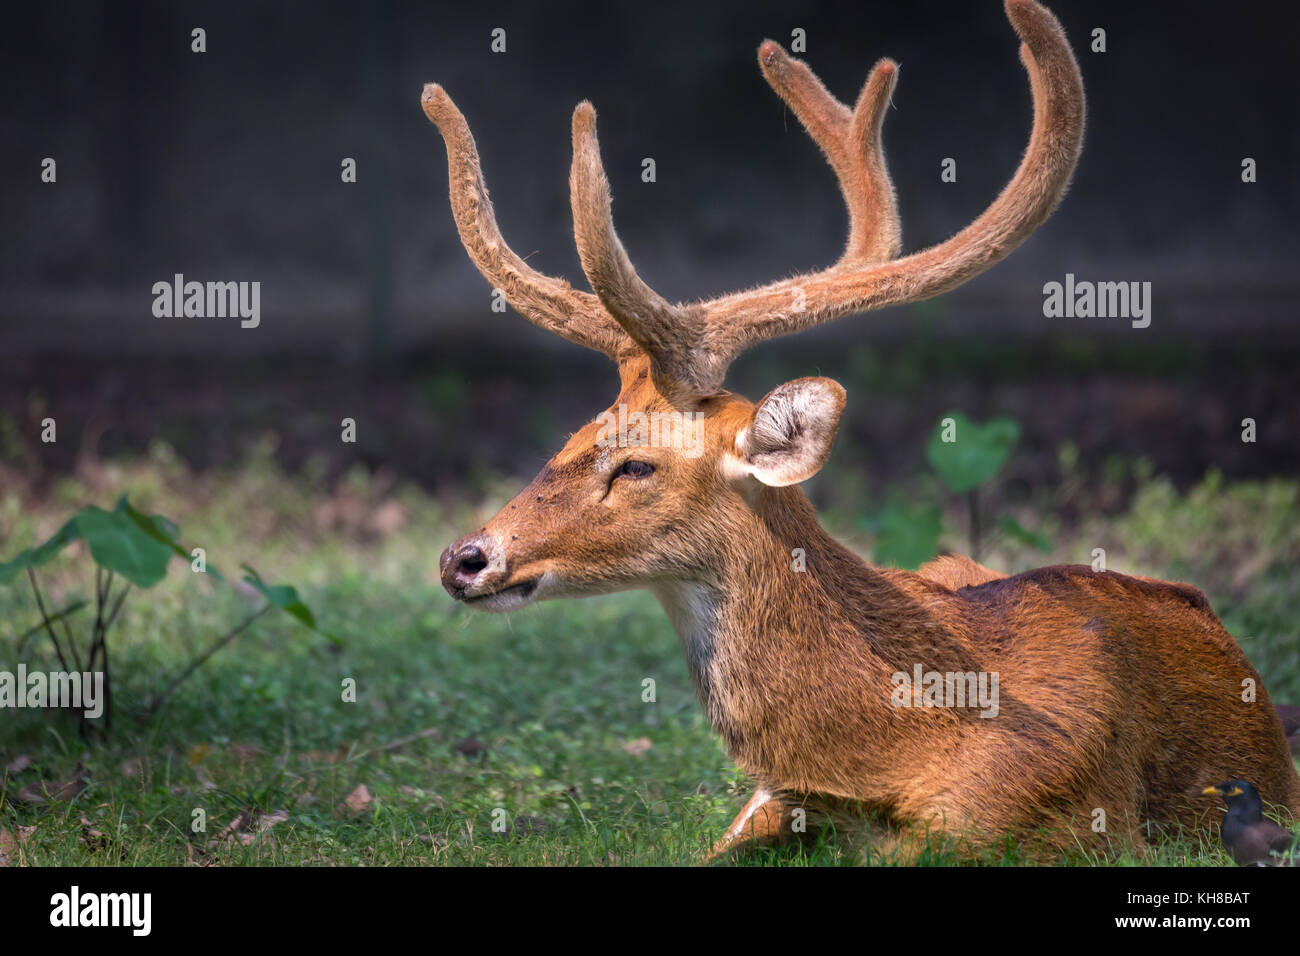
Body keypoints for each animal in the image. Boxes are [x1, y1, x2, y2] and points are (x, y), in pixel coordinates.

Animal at [424, 0, 1300, 862]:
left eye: (637, 465)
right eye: (574, 437)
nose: (464, 557)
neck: (895, 747)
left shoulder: (1072, 820)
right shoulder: (768, 801)